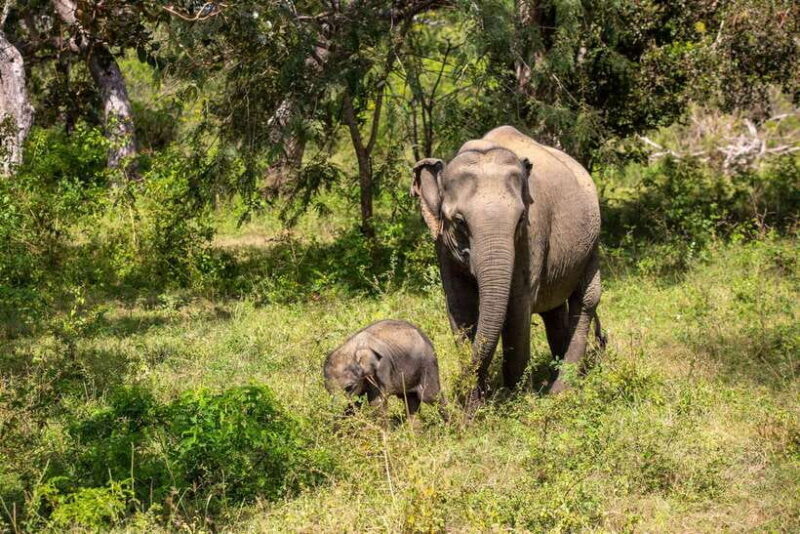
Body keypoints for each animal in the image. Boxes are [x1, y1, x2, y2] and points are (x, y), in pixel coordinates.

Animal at [410, 125, 605, 404]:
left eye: (521, 218)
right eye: (459, 222)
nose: (453, 391)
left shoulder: (531, 238)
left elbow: (517, 309)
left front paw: (516, 401)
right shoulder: (442, 245)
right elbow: (461, 309)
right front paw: (475, 406)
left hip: (592, 240)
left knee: (586, 300)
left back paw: (560, 392)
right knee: (553, 309)